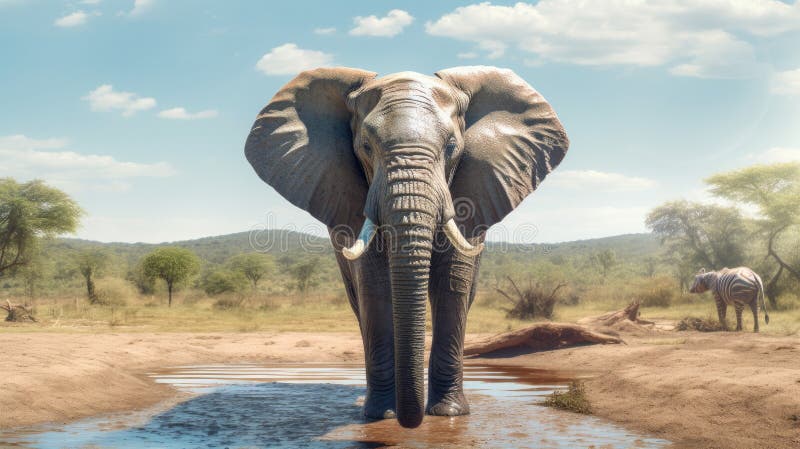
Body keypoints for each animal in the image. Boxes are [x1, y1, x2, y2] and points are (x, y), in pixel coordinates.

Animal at [245, 66, 569, 428]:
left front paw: (448, 414)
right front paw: (379, 416)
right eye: (366, 146)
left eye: (452, 147)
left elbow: (452, 286)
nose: (409, 420)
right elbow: (375, 287)